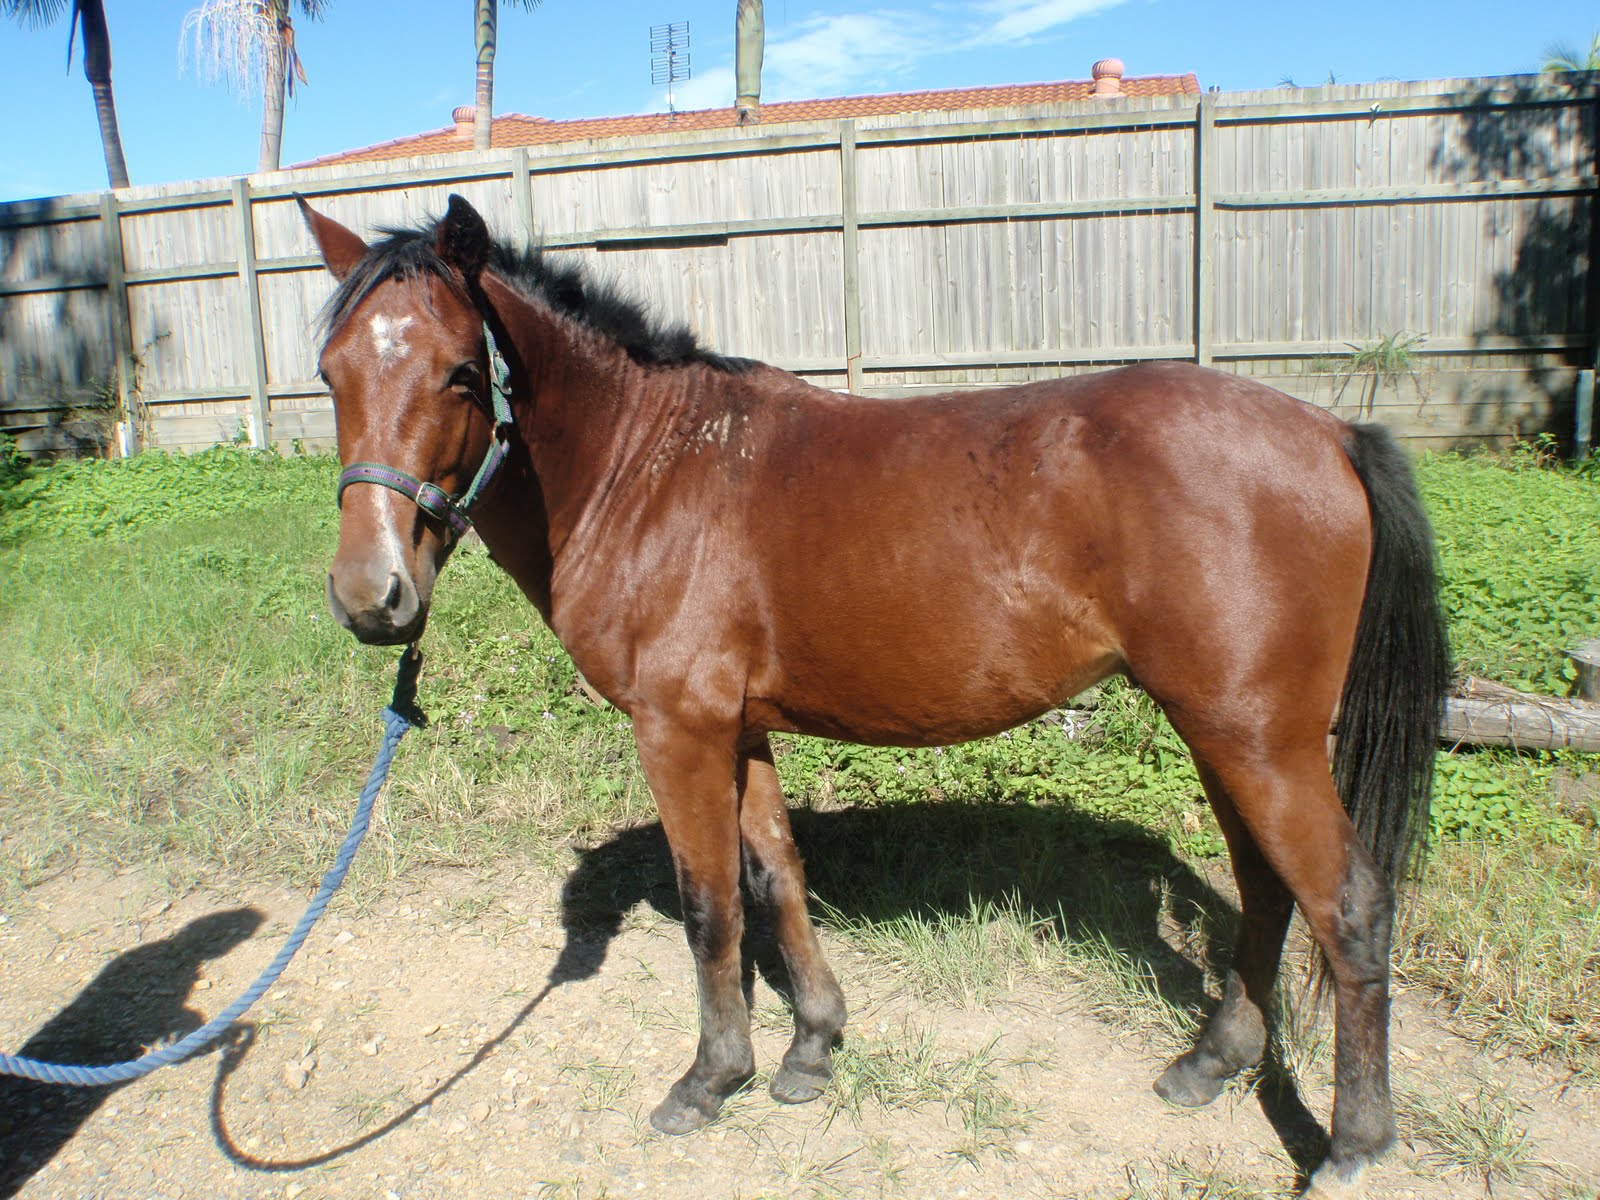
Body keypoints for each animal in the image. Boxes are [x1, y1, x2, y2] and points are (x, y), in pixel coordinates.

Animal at [299, 193, 1449, 1199]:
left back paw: (1352, 1145)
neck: (653, 467)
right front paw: (811, 1046)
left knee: (1346, 905)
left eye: (461, 372)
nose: (371, 597)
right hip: (1225, 734)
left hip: (1260, 740)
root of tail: (1331, 433)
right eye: (330, 372)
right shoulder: (740, 728)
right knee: (1267, 891)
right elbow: (777, 877)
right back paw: (1211, 1064)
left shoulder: (678, 730)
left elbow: (710, 905)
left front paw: (709, 1079)